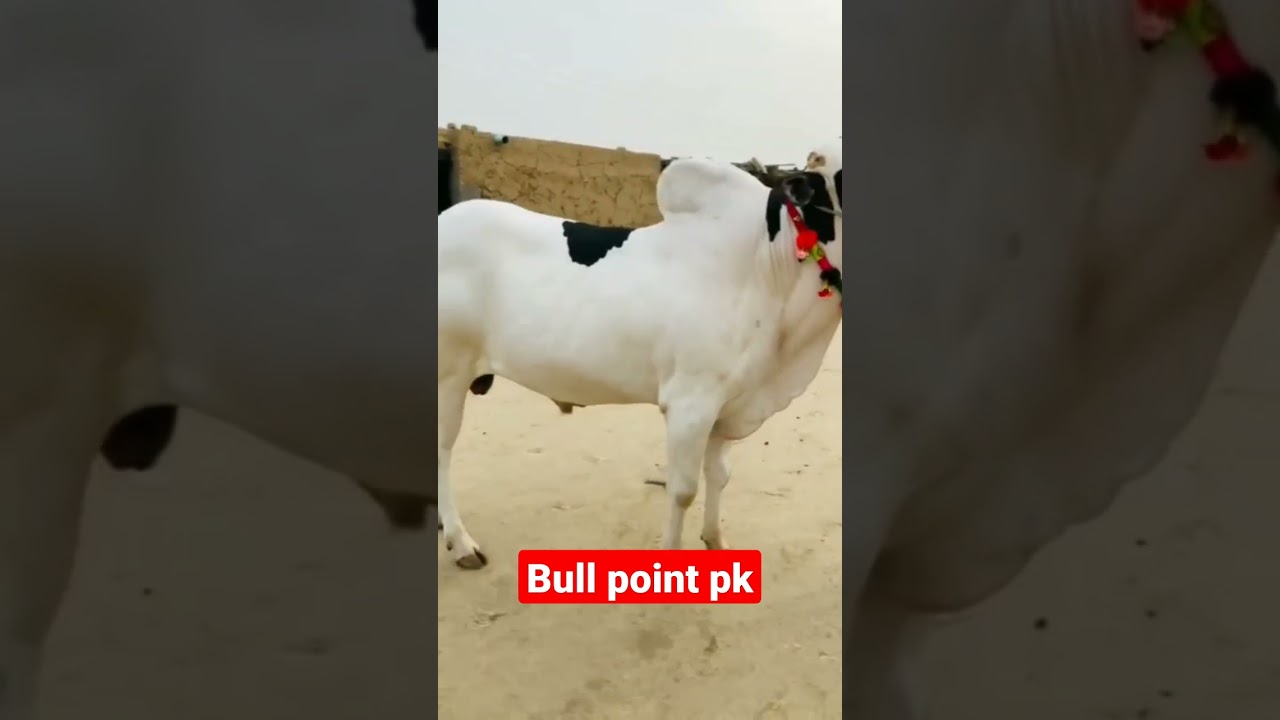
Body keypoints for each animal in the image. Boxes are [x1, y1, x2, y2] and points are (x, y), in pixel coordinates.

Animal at [435, 145, 844, 569]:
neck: (764, 266)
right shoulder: (689, 405)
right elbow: (682, 490)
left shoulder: (730, 405)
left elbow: (720, 475)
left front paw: (715, 540)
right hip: (448, 374)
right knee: (441, 451)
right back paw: (460, 541)